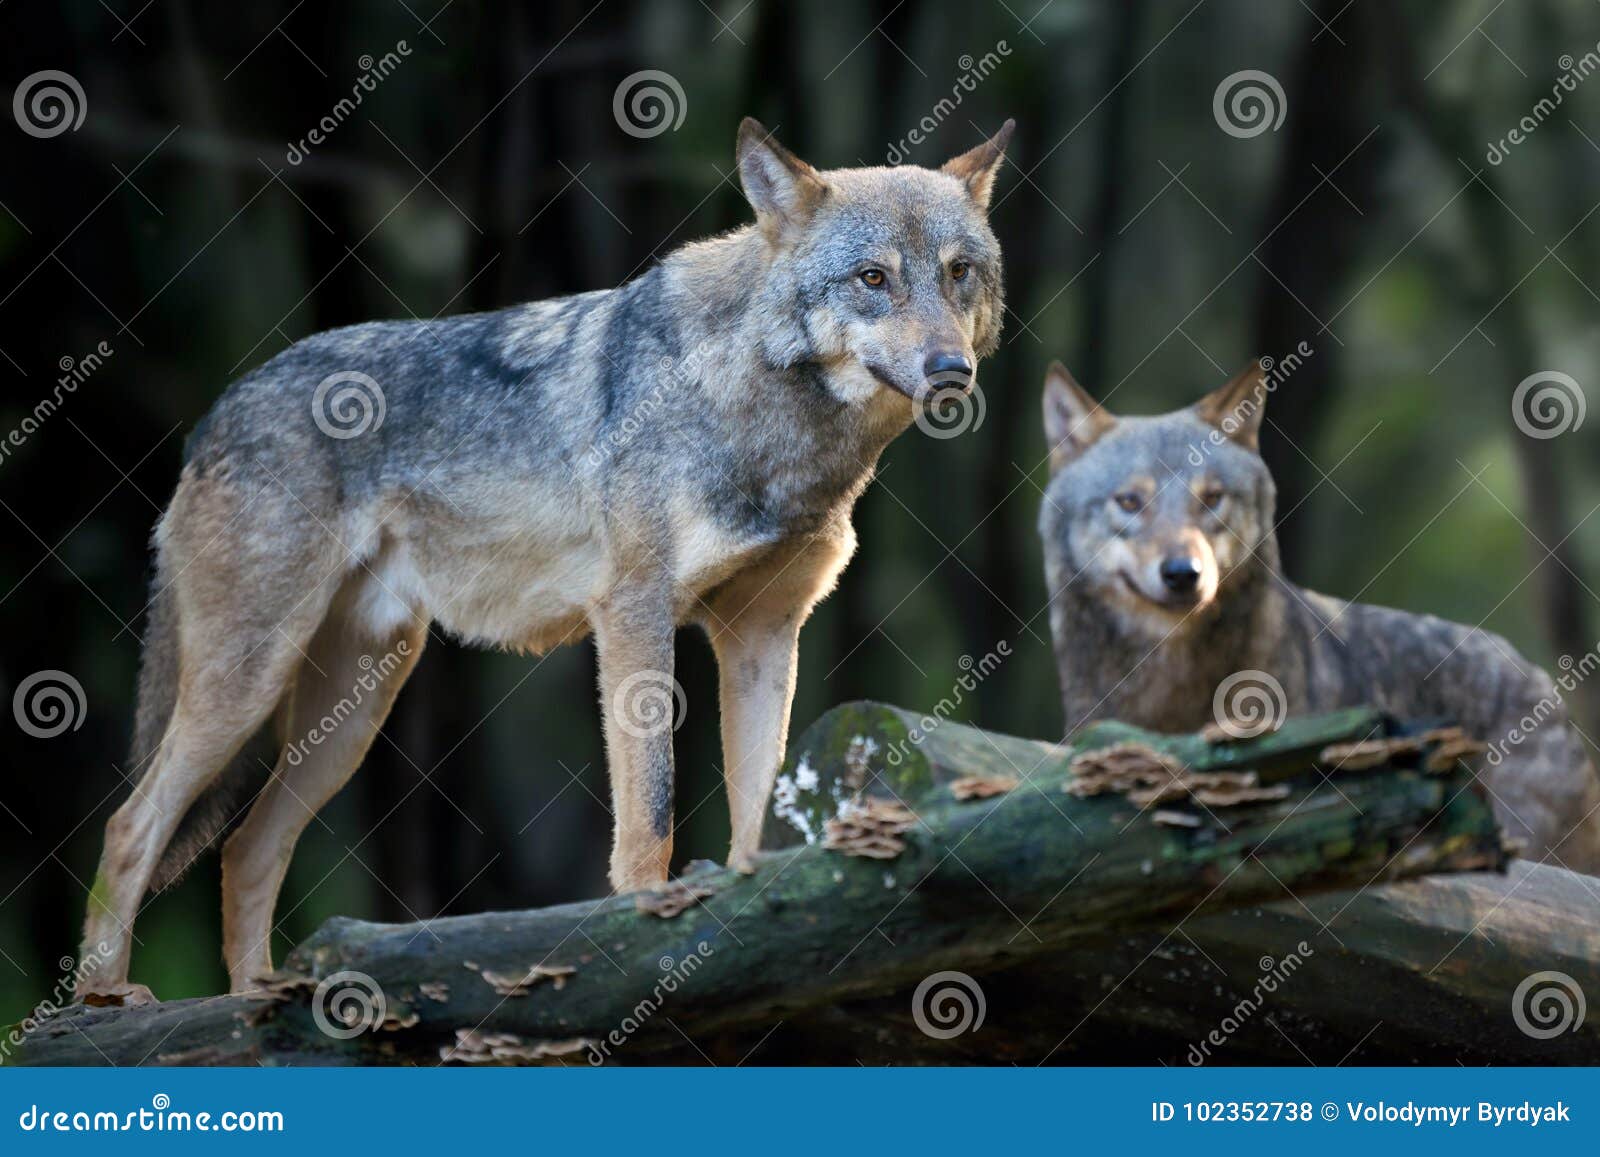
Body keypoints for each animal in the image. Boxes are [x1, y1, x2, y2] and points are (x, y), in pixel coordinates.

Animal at [80, 117, 1015, 1002]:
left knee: (245, 848)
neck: (771, 419)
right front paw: (644, 932)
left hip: (353, 709)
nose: (951, 369)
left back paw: (255, 1002)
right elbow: (651, 815)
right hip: (251, 681)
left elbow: (757, 816)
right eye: (874, 278)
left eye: (958, 272)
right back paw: (108, 1001)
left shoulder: (762, 635)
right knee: (129, 828)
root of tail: (215, 414)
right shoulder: (635, 614)